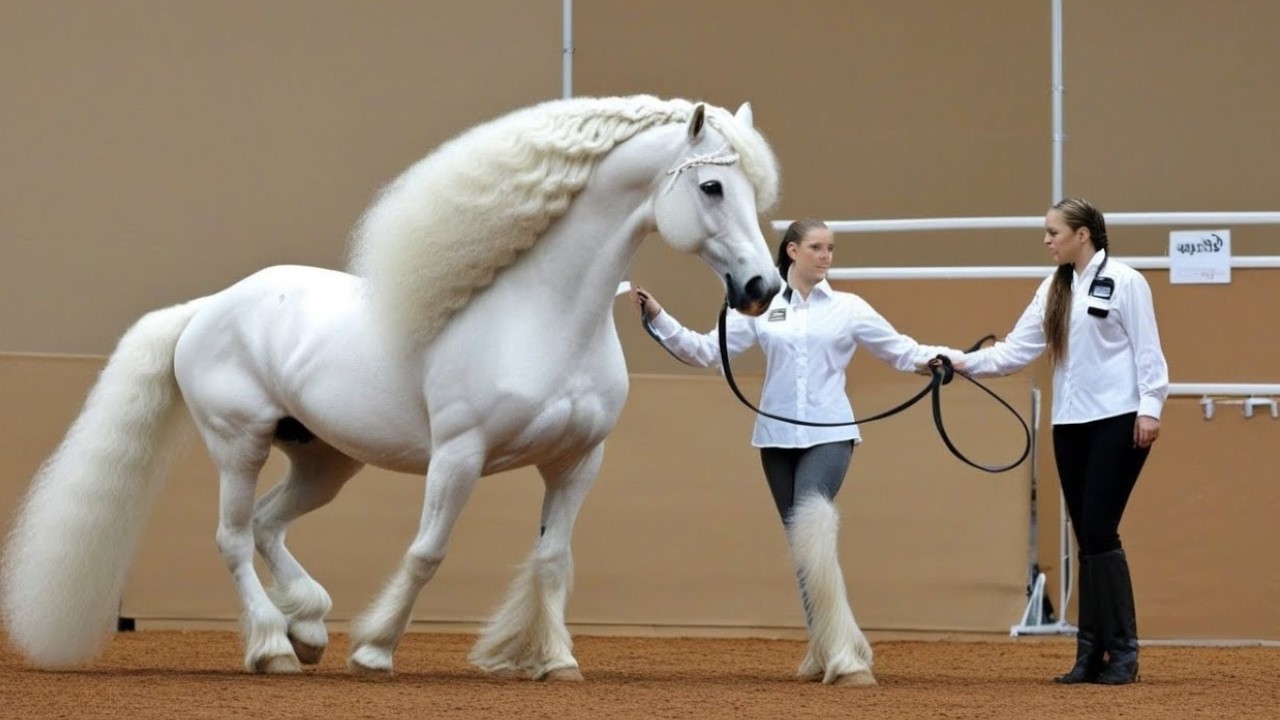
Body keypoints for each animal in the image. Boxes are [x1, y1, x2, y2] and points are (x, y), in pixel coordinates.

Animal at [0, 95, 783, 680]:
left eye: (756, 192)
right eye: (712, 186)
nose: (761, 288)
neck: (540, 316)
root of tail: (206, 308)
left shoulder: (576, 462)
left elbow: (554, 561)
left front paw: (556, 662)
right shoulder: (459, 456)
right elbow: (427, 551)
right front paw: (376, 651)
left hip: (323, 459)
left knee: (268, 525)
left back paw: (310, 627)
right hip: (239, 443)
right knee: (232, 537)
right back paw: (273, 645)